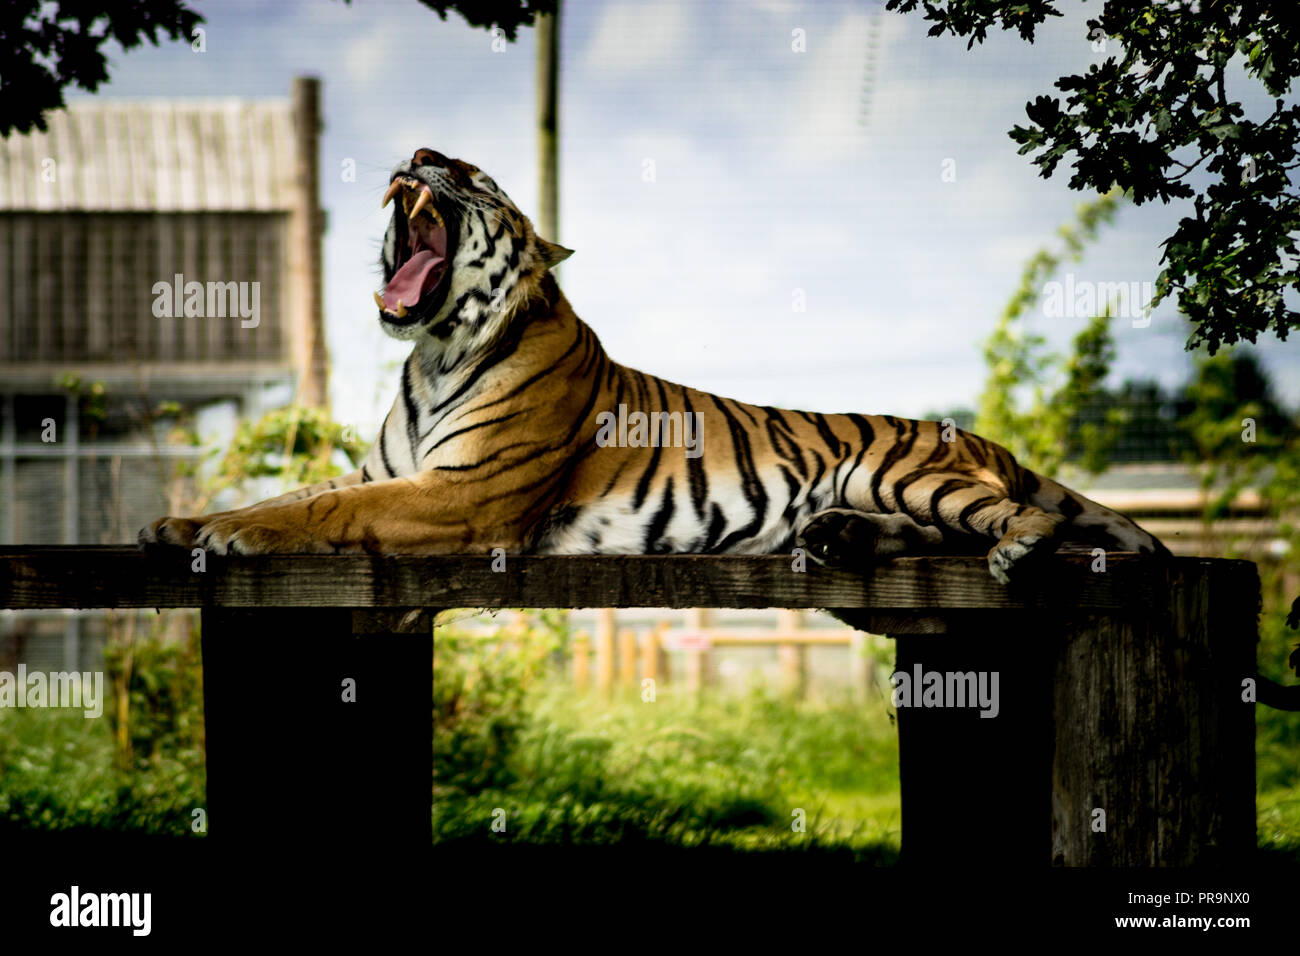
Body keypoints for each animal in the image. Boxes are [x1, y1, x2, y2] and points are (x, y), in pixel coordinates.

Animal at [140, 147, 1169, 585]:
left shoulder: (458, 496)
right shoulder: (386, 474)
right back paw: (837, 538)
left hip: (906, 471)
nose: (421, 150)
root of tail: (983, 439)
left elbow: (313, 514)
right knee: (934, 535)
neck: (431, 352)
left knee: (1016, 519)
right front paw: (180, 523)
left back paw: (1015, 547)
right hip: (886, 488)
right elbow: (294, 494)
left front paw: (224, 535)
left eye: (473, 178)